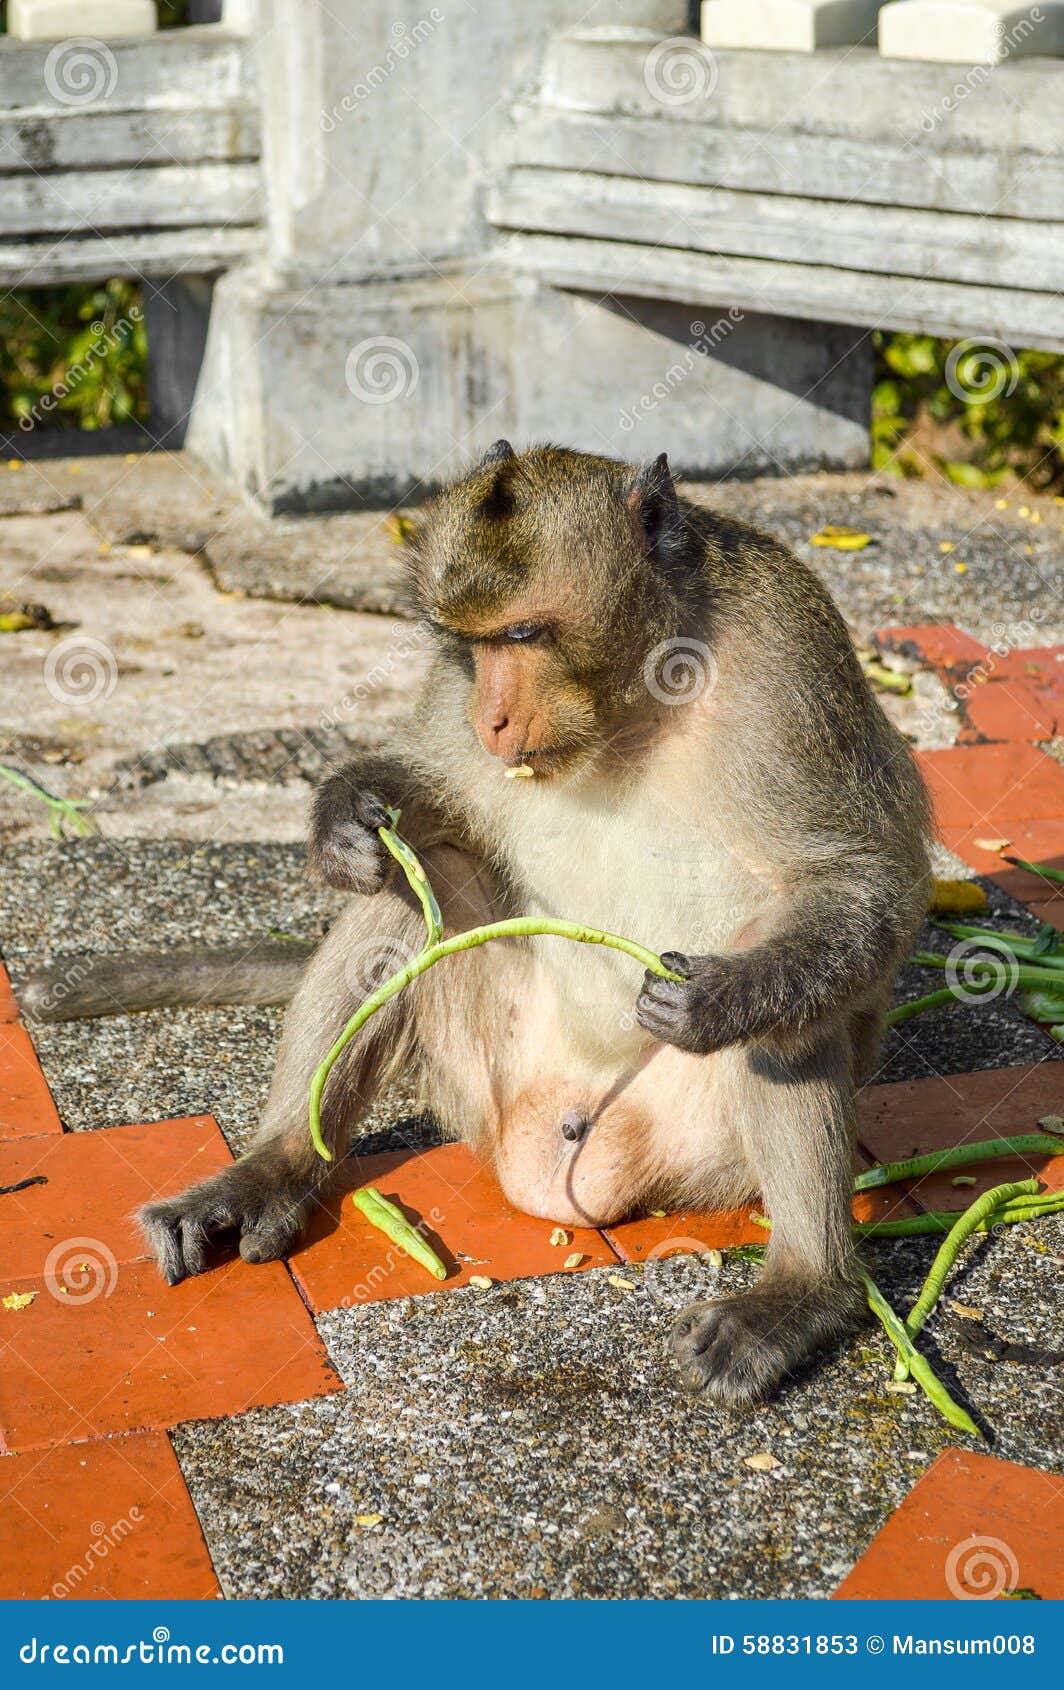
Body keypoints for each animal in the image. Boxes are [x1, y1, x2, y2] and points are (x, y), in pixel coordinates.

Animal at [21, 443, 931, 1406]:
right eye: (470, 644)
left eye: (523, 636)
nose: (490, 715)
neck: (635, 702)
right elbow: (434, 800)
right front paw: (343, 817)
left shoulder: (787, 660)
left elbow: (863, 882)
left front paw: (722, 996)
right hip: (479, 1084)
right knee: (412, 891)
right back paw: (276, 1167)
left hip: (710, 1155)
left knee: (793, 1011)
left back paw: (804, 1284)